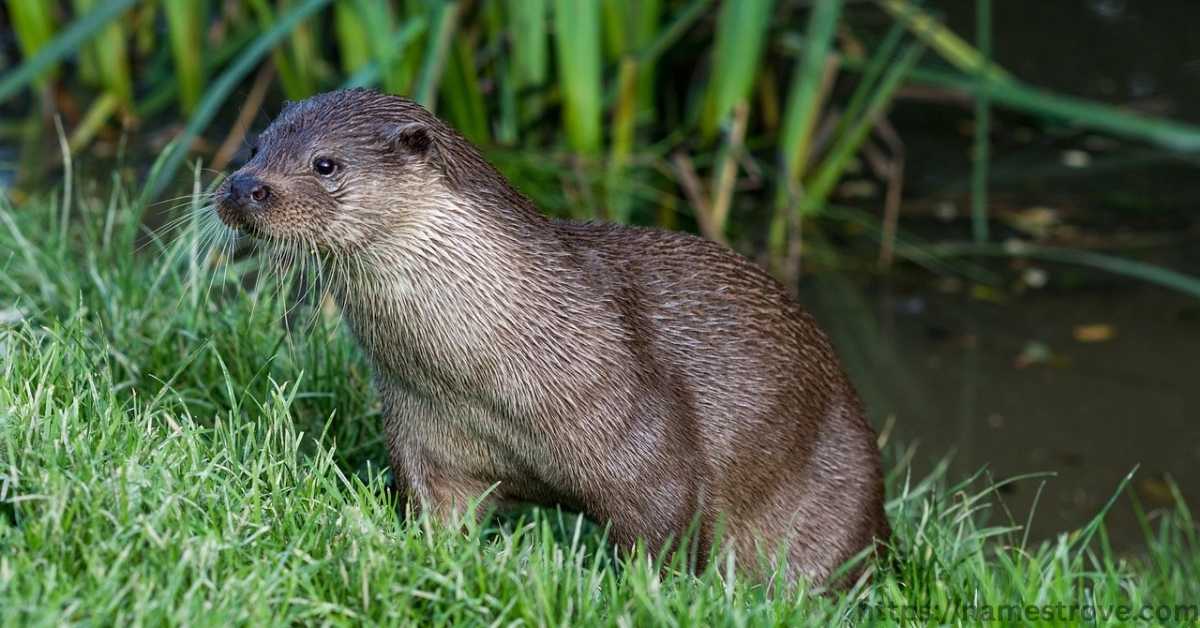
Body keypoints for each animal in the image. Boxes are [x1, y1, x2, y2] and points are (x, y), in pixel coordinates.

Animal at [214, 88, 889, 585]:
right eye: (254, 146)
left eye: (325, 163)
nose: (244, 186)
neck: (481, 374)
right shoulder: (426, 435)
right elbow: (436, 512)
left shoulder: (643, 435)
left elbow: (667, 532)